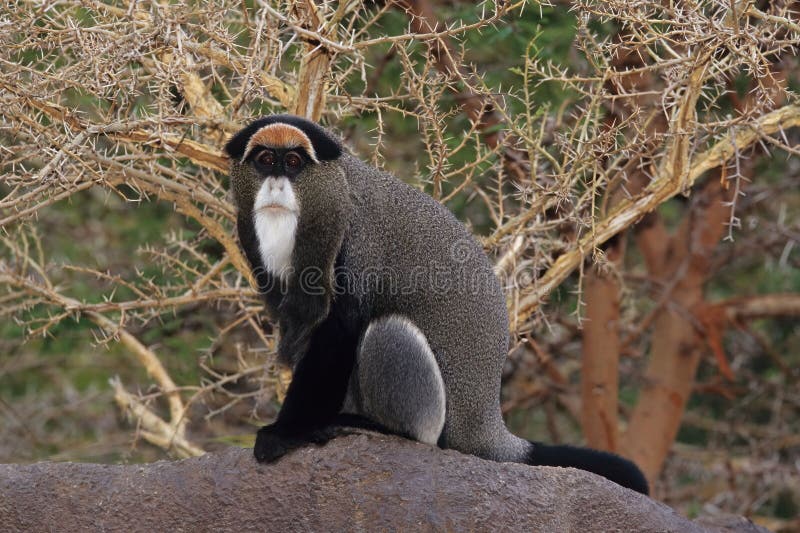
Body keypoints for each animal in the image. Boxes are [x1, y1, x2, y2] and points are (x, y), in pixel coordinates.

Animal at [224, 114, 649, 495]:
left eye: (295, 162)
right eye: (265, 160)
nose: (276, 184)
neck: (332, 193)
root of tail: (483, 424)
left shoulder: (357, 244)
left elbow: (338, 333)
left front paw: (284, 433)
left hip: (431, 409)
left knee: (388, 330)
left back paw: (382, 429)